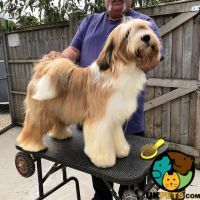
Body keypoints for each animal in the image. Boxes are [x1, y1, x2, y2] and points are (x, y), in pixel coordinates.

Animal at [17, 19, 161, 168]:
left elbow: (117, 136)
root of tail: (45, 66)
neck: (122, 69)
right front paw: (104, 160)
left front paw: (121, 150)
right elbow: (101, 141)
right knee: (33, 126)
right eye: (127, 34)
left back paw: (61, 135)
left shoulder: (114, 119)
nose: (146, 37)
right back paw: (31, 145)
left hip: (59, 109)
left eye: (143, 28)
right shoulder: (100, 120)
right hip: (40, 111)